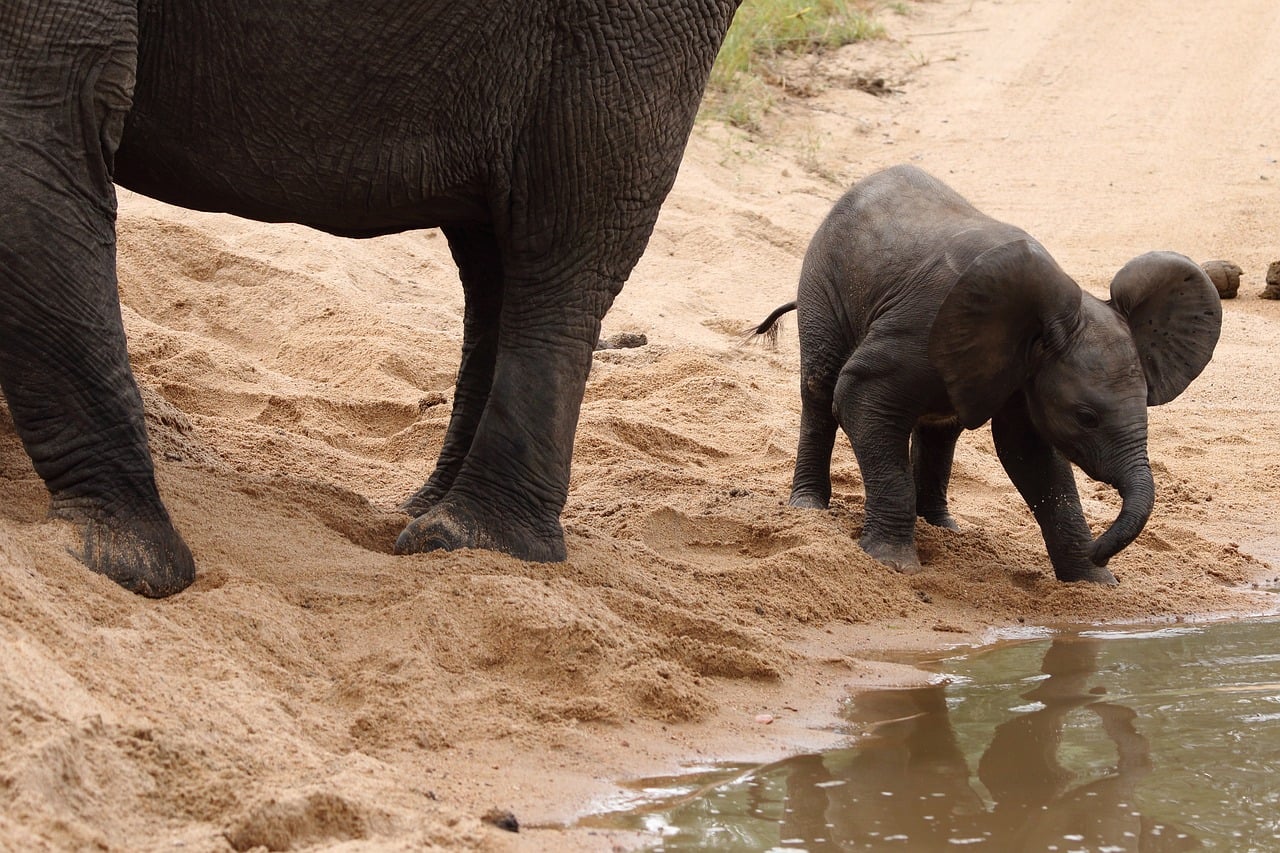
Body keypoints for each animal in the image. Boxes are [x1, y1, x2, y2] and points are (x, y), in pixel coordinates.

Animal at [0, 1, 741, 597]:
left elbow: (30, 149)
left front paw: (109, 563)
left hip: (626, 35)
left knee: (560, 237)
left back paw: (466, 540)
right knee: (494, 260)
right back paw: (425, 512)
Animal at [753, 165, 1221, 584]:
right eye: (1086, 417)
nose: (1101, 550)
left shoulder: (1022, 368)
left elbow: (1031, 457)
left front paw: (1094, 584)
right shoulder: (918, 331)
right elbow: (857, 397)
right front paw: (892, 564)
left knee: (942, 428)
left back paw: (942, 527)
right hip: (823, 285)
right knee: (819, 388)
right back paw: (808, 508)